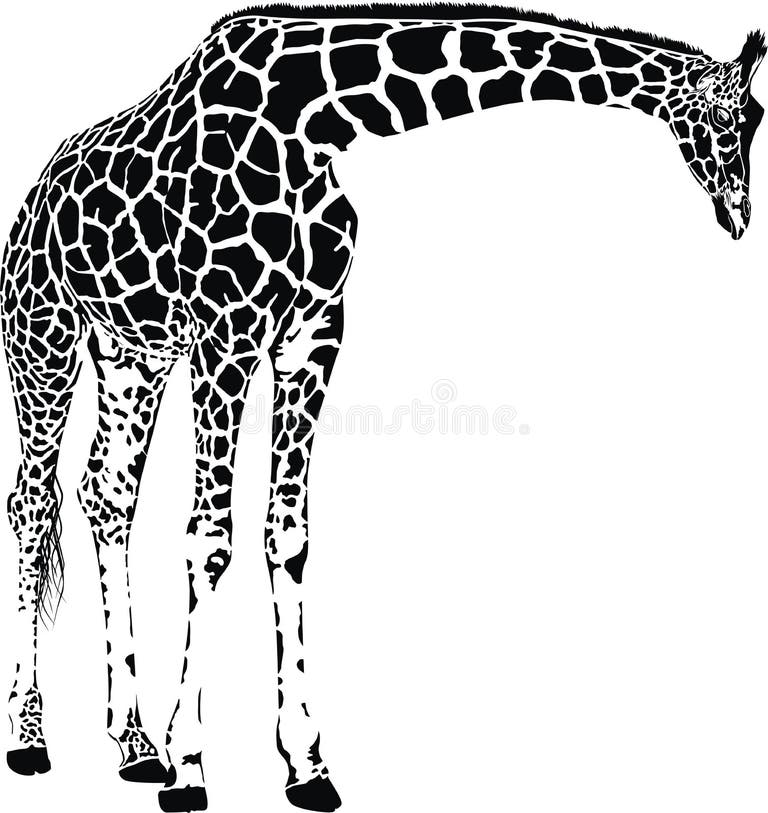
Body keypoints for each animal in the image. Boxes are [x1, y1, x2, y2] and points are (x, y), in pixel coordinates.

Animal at [2, 4, 765, 812]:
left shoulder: (312, 336)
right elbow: (209, 541)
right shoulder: (226, 332)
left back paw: (132, 743)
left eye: (755, 118)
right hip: (44, 342)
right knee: (33, 503)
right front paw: (191, 767)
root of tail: (29, 200)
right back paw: (32, 737)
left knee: (105, 496)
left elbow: (287, 537)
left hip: (130, 355)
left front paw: (306, 766)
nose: (739, 216)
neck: (316, 121)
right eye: (729, 119)